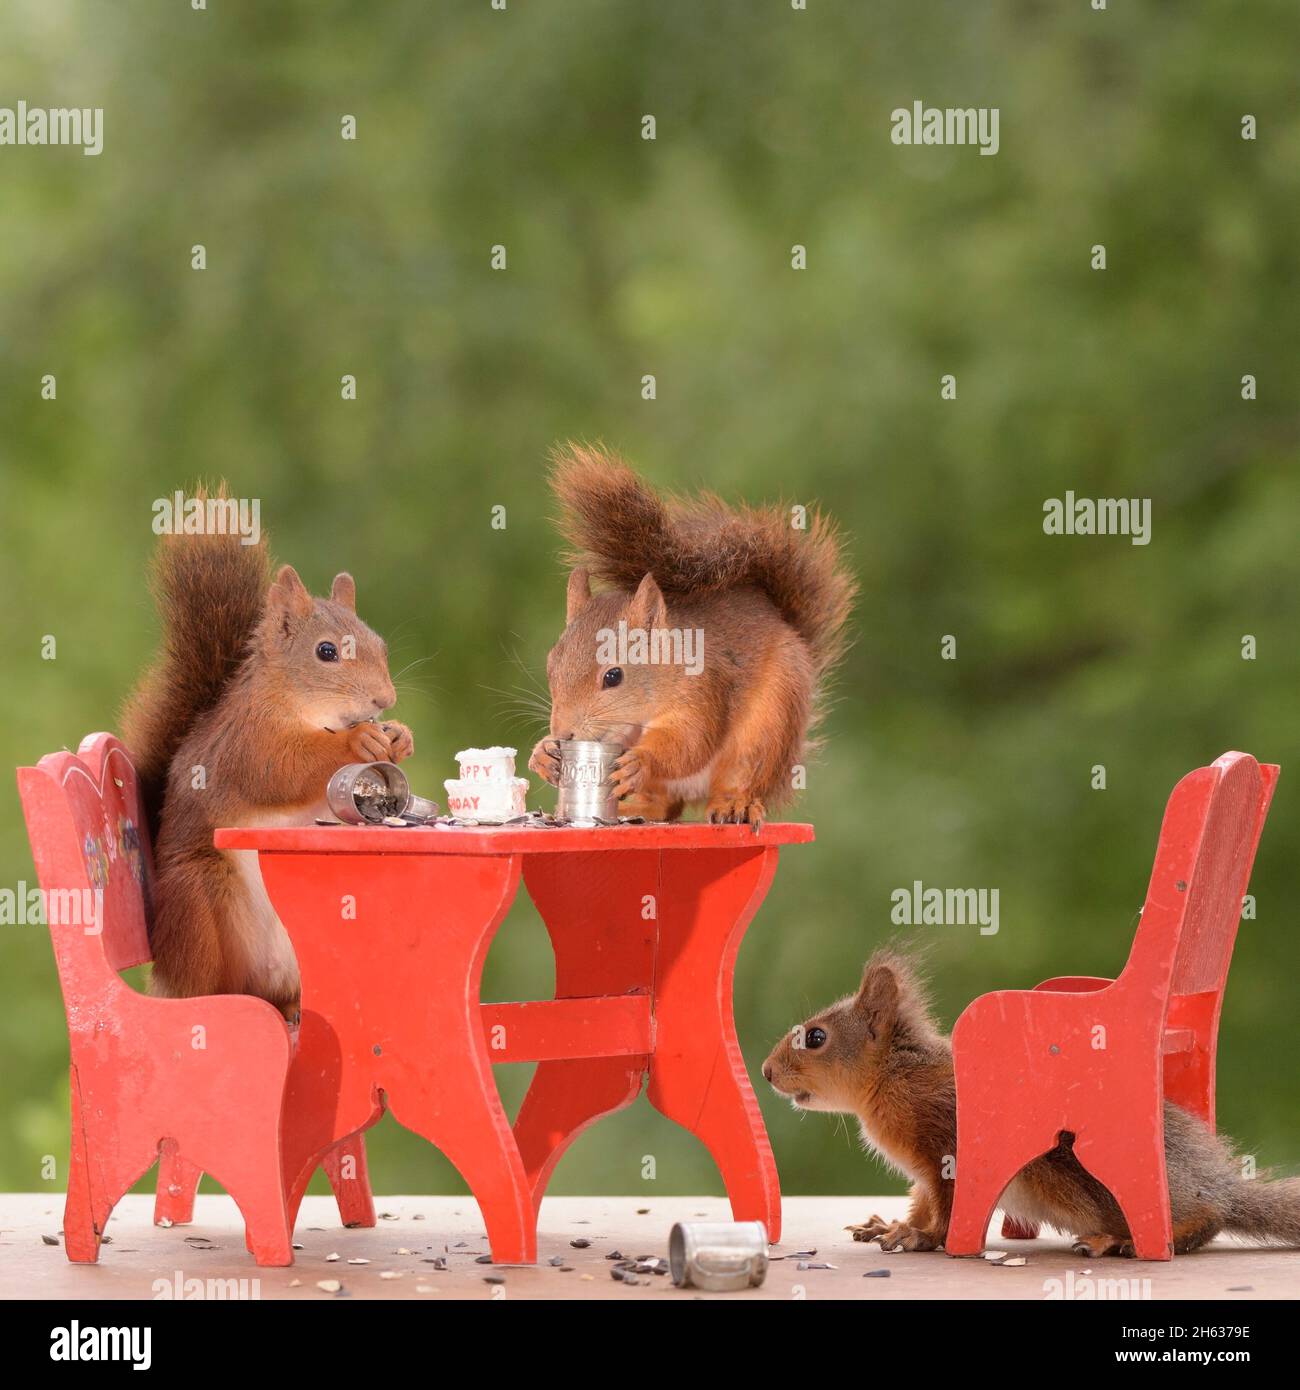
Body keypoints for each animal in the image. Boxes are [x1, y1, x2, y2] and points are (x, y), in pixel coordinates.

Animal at [120, 490, 414, 1019]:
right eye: (325, 652)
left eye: (381, 645)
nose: (384, 700)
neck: (303, 709)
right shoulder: (248, 742)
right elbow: (281, 771)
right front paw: (356, 743)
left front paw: (399, 737)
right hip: (198, 905)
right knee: (198, 981)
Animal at [527, 445, 855, 826]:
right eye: (551, 665)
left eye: (613, 676)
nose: (563, 733)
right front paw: (543, 752)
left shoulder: (703, 689)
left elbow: (690, 742)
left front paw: (641, 761)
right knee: (665, 806)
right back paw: (637, 808)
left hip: (768, 728)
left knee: (740, 776)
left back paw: (735, 804)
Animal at [763, 950, 1300, 1256]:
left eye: (816, 1037)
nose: (767, 1072)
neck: (895, 1077)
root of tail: (1216, 1187)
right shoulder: (925, 1168)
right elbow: (922, 1200)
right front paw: (893, 1225)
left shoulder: (945, 1145)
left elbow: (946, 1205)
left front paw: (924, 1239)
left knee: (1202, 1220)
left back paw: (1123, 1240)